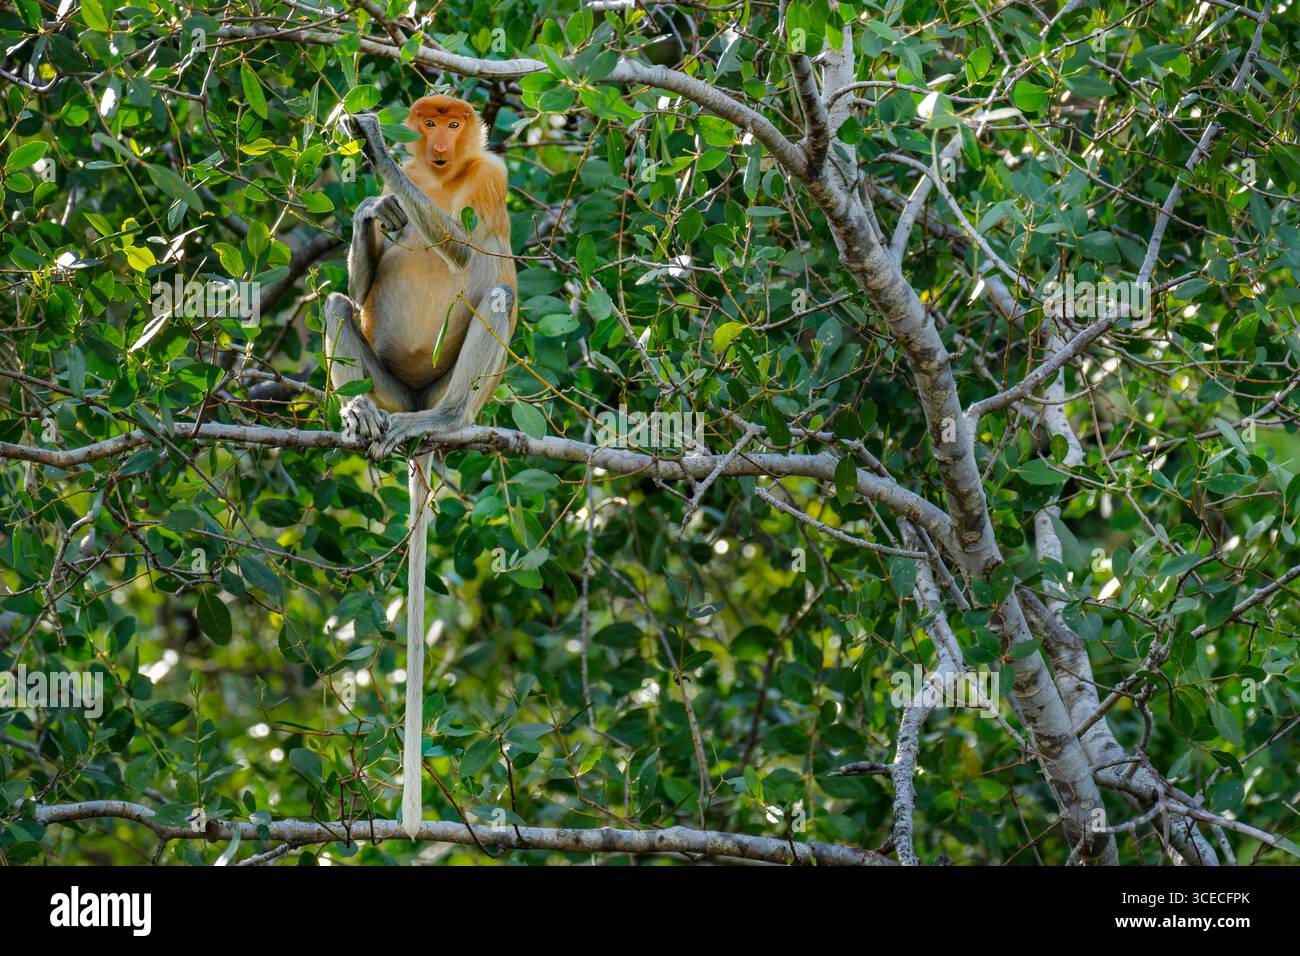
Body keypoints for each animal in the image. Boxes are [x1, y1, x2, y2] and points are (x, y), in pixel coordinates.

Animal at [325, 96, 517, 839]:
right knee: (335, 304)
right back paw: (361, 416)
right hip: (390, 383)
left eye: (454, 122)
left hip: (445, 386)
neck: (439, 177)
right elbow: (361, 283)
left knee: (496, 298)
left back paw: (445, 421)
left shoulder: (490, 176)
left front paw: (376, 147)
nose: (437, 139)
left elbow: (468, 253)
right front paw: (370, 208)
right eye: (430, 120)